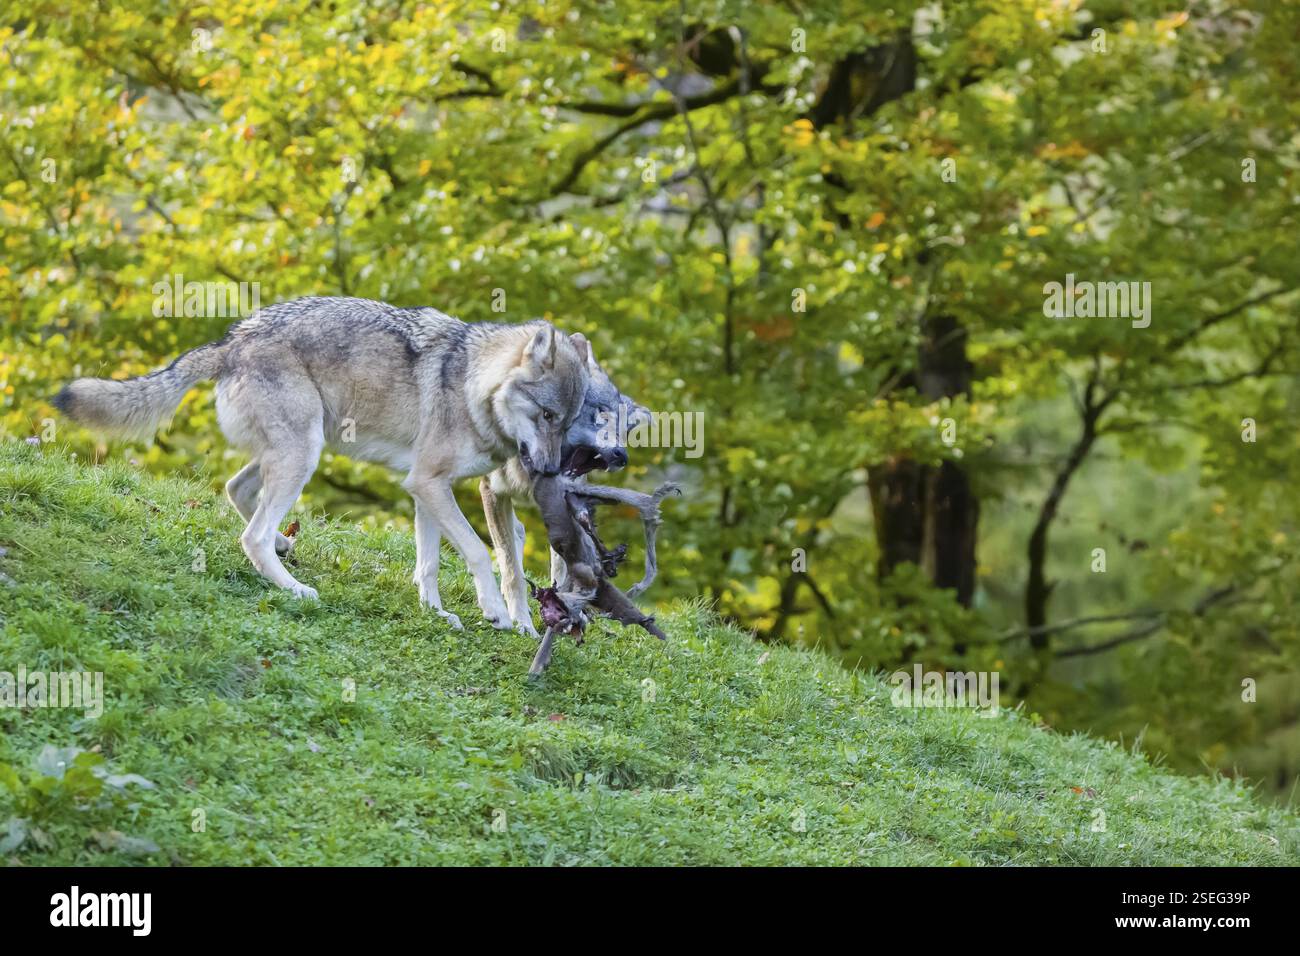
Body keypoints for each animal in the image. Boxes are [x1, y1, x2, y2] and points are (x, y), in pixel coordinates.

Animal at [53, 296, 591, 631]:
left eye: (568, 423)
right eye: (546, 415)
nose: (549, 472)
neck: (470, 386)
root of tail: (232, 339)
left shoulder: (423, 489)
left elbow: (428, 565)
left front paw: (435, 615)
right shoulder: (430, 483)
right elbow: (479, 553)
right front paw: (495, 612)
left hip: (299, 448)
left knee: (236, 490)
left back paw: (282, 547)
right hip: (304, 452)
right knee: (249, 535)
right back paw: (294, 587)